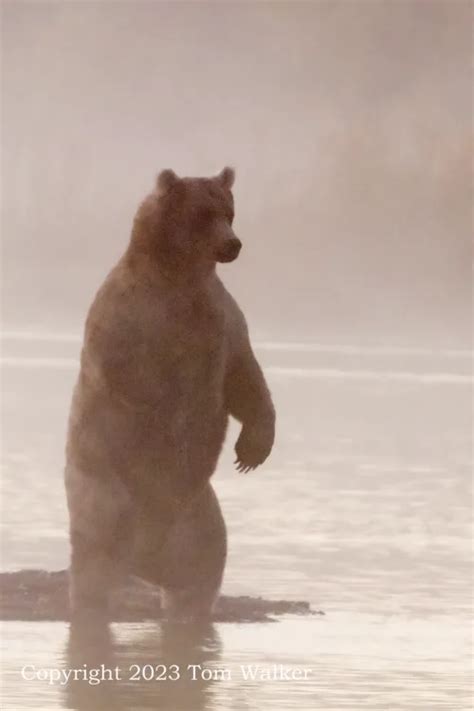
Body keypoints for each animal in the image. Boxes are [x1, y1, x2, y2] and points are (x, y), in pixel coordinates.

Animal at [65, 167, 276, 622]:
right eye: (202, 214)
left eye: (229, 211)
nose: (233, 244)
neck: (178, 279)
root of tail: (148, 562)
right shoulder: (132, 320)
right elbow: (137, 384)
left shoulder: (222, 324)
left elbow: (246, 381)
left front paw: (250, 452)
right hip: (102, 495)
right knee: (94, 567)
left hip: (201, 521)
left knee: (200, 577)